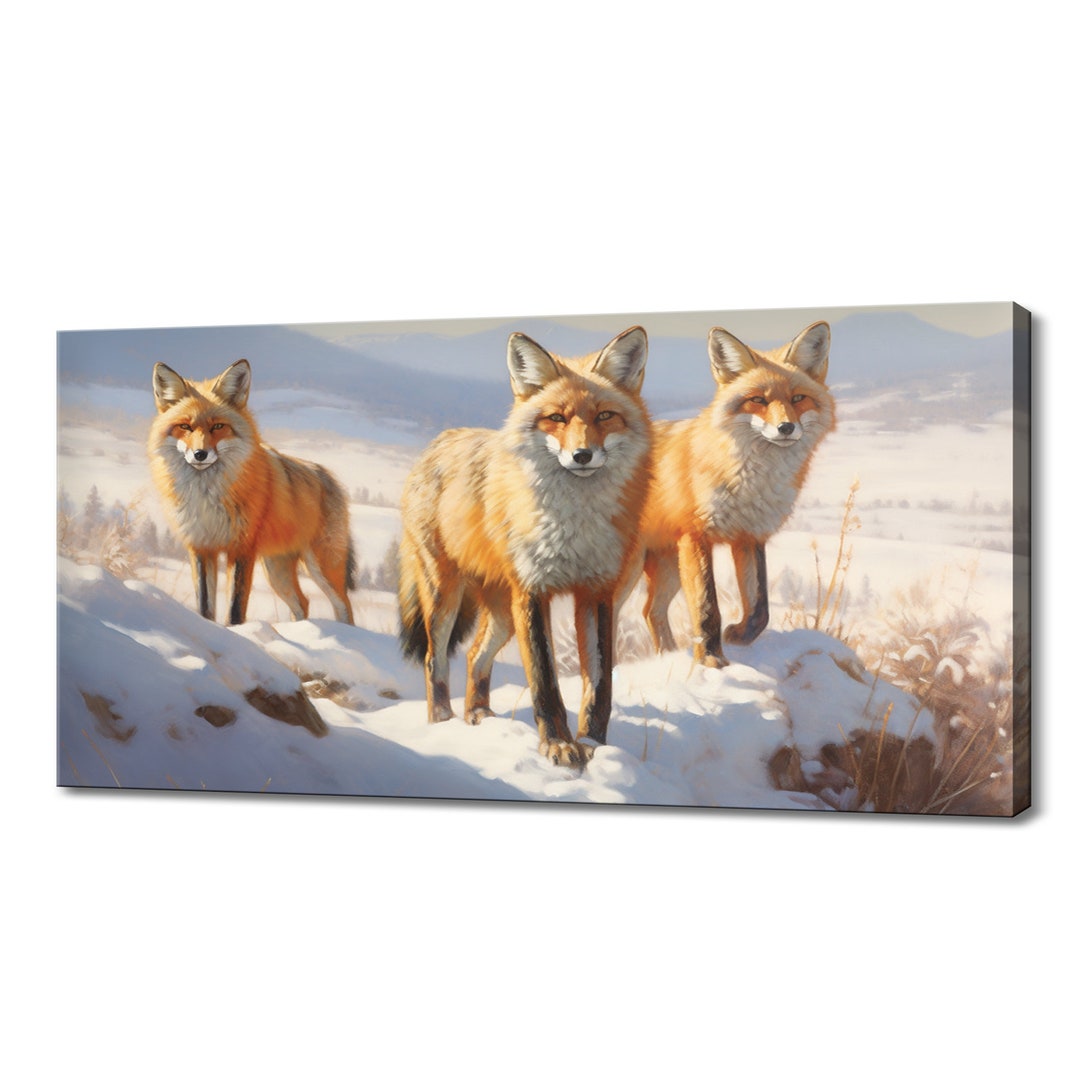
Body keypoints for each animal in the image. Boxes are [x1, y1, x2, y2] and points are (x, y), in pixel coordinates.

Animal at [148, 358, 356, 626]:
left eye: (218, 426)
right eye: (185, 426)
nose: (200, 454)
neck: (206, 497)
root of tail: (327, 475)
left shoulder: (241, 549)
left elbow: (235, 608)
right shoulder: (201, 548)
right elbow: (205, 606)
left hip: (322, 566)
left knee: (343, 606)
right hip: (276, 569)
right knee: (302, 603)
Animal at [397, 326, 652, 767]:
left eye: (604, 416)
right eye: (557, 418)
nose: (582, 455)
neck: (575, 526)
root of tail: (444, 437)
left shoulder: (598, 592)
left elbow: (600, 683)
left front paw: (594, 745)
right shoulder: (533, 591)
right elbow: (545, 681)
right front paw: (558, 745)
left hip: (502, 611)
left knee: (474, 654)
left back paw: (479, 713)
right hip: (447, 594)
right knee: (435, 659)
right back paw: (442, 722)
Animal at [630, 321, 835, 668]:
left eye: (798, 398)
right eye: (758, 400)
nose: (786, 428)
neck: (750, 485)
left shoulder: (749, 536)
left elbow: (760, 608)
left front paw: (738, 636)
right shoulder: (696, 536)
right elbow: (706, 607)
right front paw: (712, 660)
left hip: (670, 567)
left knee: (650, 611)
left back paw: (667, 655)